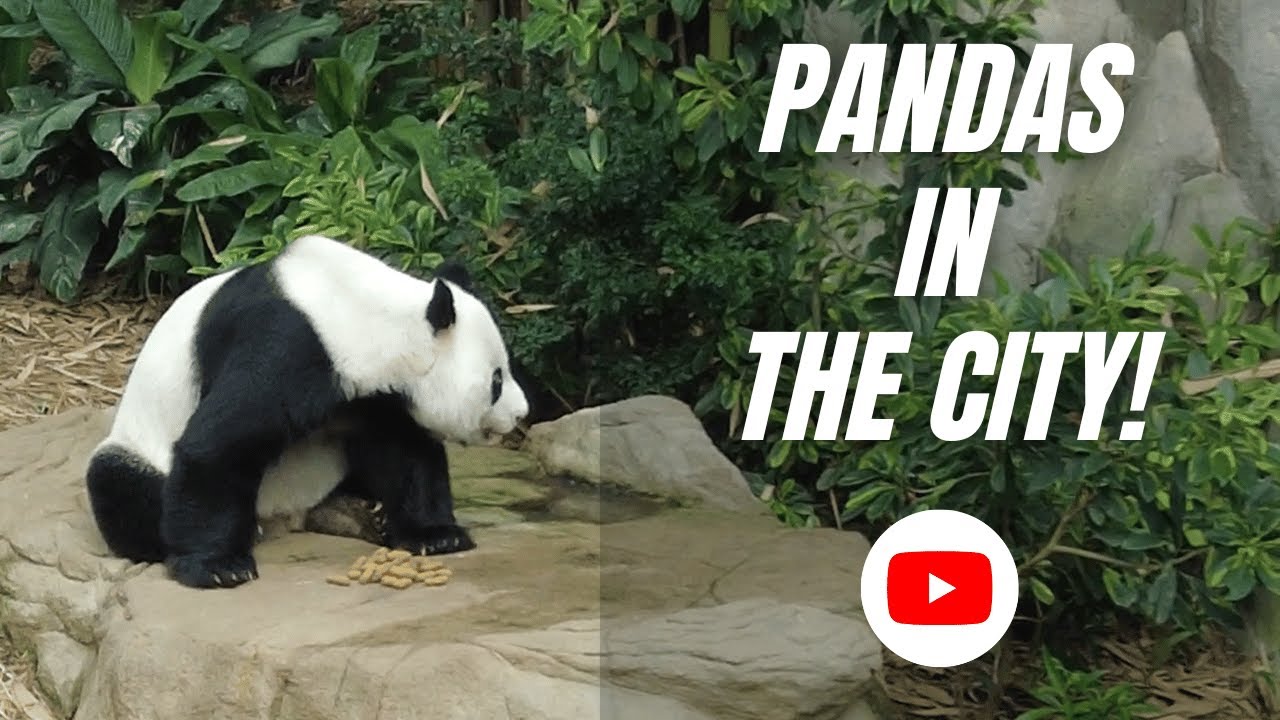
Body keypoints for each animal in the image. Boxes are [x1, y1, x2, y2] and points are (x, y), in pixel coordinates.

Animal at [85, 234, 529, 589]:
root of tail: (286, 514)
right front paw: (218, 567)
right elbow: (217, 445)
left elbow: (405, 451)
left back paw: (361, 513)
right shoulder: (288, 346)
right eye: (496, 381)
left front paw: (436, 535)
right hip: (136, 446)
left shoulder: (375, 395)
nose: (522, 413)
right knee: (118, 482)